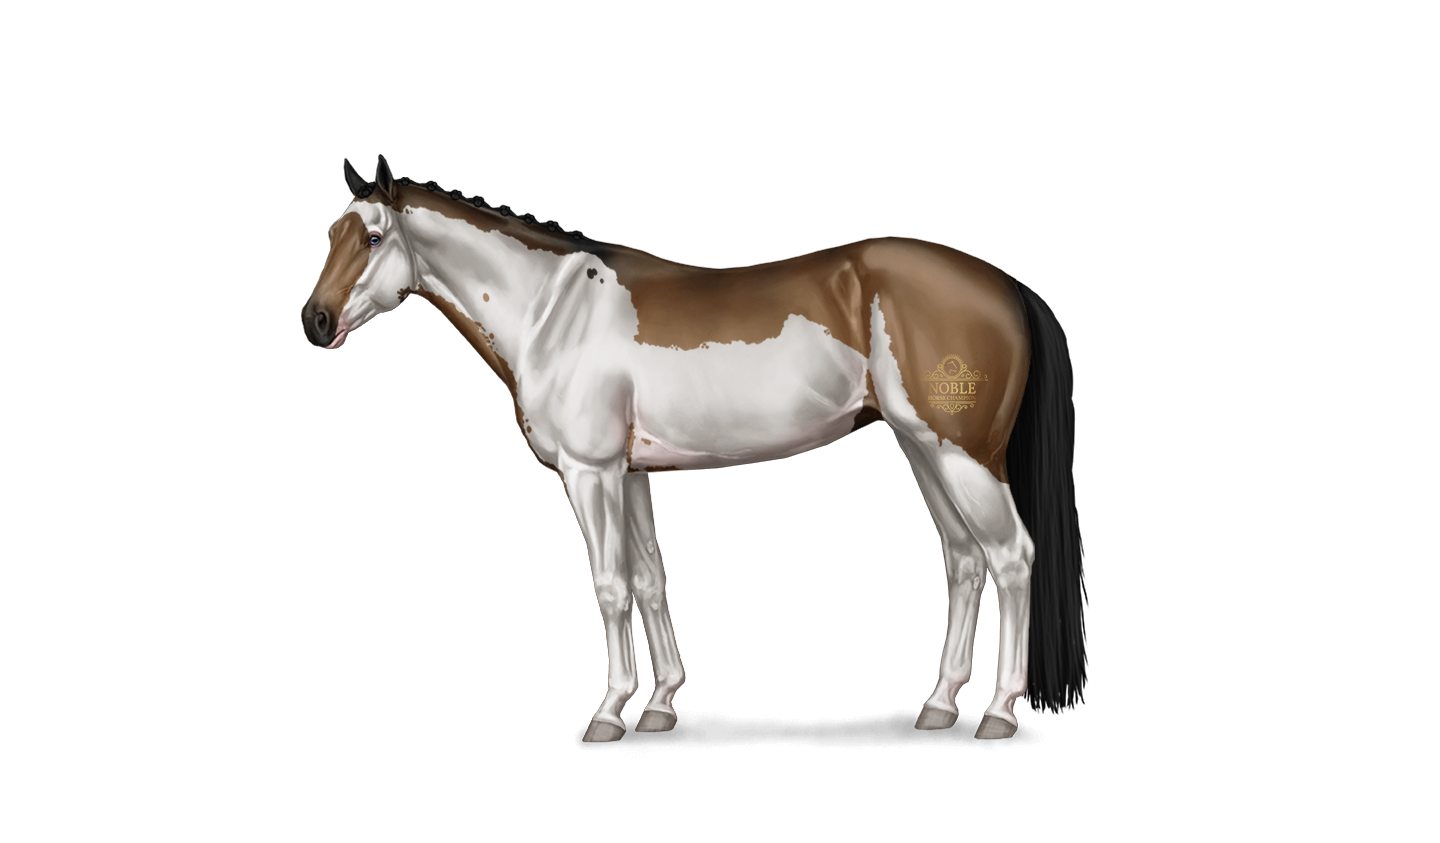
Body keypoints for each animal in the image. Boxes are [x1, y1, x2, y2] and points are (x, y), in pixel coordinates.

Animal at [301, 157, 1086, 742]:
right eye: (333, 230)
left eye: (373, 238)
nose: (315, 322)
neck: (552, 314)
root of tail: (1005, 284)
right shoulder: (631, 474)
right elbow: (651, 581)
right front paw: (658, 706)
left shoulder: (590, 474)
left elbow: (611, 586)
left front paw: (608, 712)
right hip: (925, 450)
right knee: (964, 561)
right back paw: (941, 705)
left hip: (964, 455)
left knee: (1011, 557)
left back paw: (996, 712)